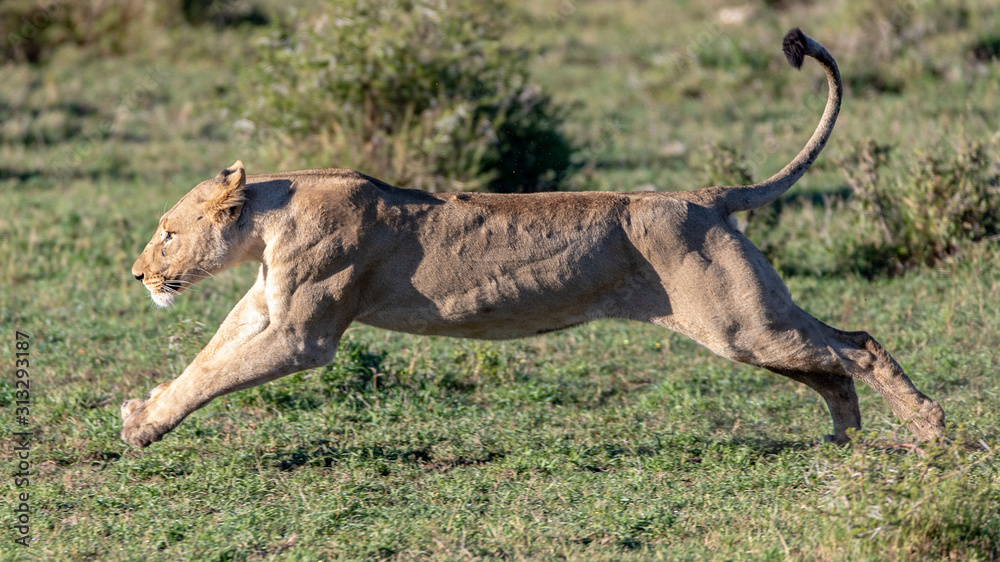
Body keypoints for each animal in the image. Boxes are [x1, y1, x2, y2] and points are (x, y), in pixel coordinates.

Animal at [122, 29, 945, 448]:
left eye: (166, 233)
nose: (137, 276)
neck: (270, 215)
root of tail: (701, 195)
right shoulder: (265, 308)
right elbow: (207, 361)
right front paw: (144, 411)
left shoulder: (302, 335)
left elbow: (219, 373)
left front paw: (140, 429)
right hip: (748, 322)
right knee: (839, 353)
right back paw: (843, 442)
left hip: (738, 321)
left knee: (859, 349)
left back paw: (932, 435)